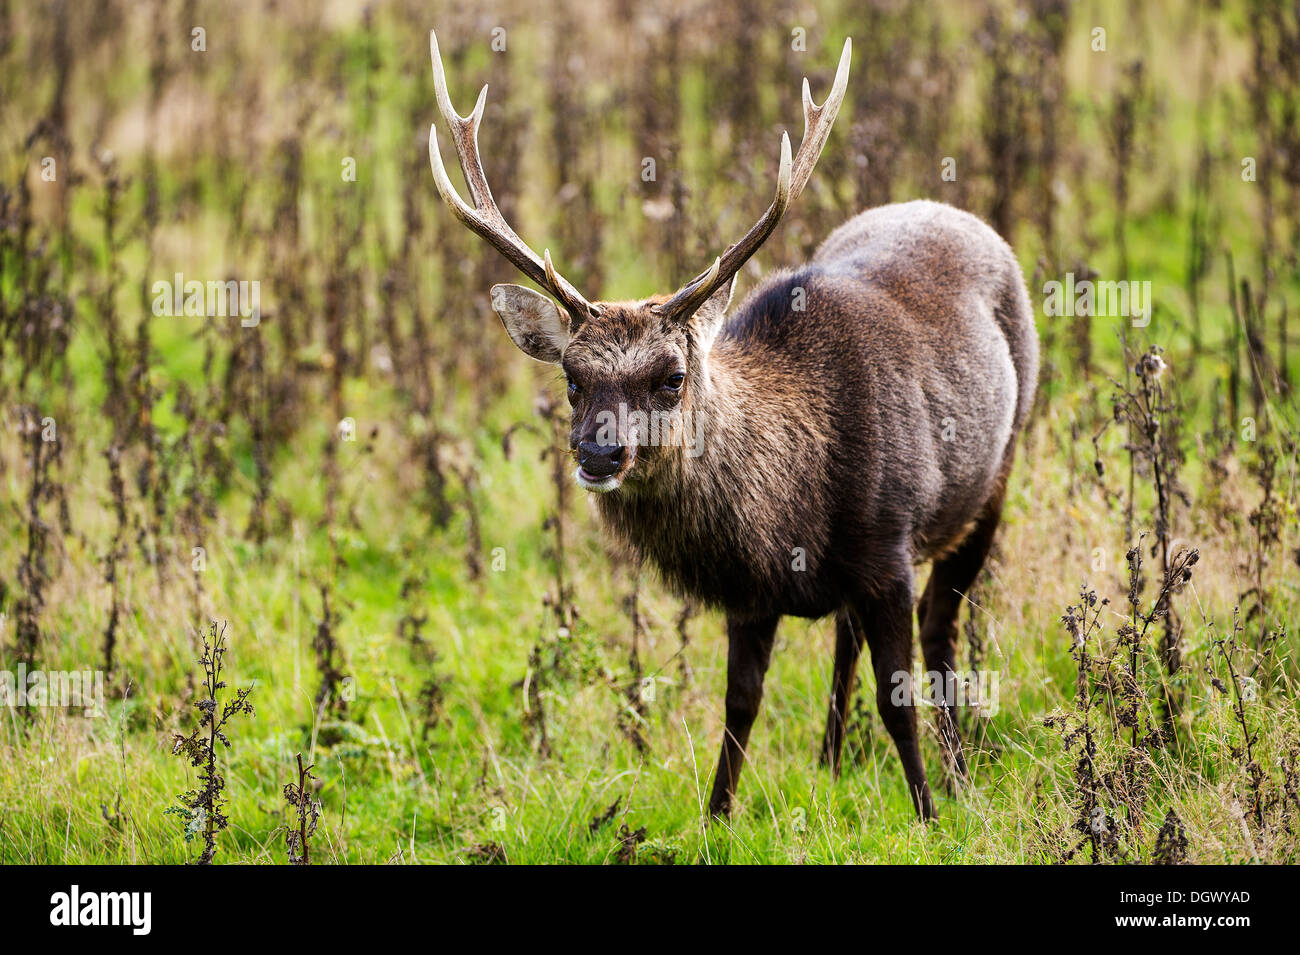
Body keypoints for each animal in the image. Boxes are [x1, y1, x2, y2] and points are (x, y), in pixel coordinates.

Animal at [426, 29, 1038, 821]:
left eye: (672, 377)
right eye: (571, 379)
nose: (599, 454)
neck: (790, 519)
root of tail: (954, 211)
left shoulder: (889, 548)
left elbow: (895, 697)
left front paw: (929, 815)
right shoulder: (750, 594)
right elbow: (739, 703)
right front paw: (717, 816)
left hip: (998, 469)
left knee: (941, 624)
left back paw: (958, 776)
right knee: (847, 636)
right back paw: (830, 763)